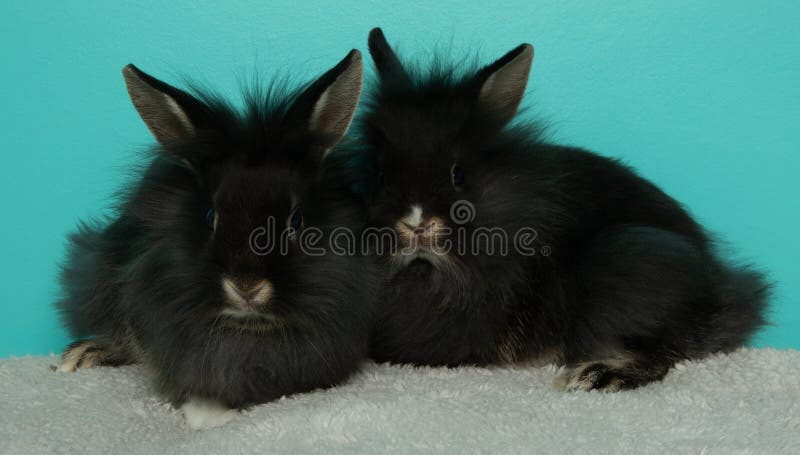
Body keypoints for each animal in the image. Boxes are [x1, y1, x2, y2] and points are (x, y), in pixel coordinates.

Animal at [55, 49, 379, 428]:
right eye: (211, 216)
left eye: (296, 220)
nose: (246, 286)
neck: (249, 329)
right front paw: (204, 415)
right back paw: (80, 355)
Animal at [358, 28, 770, 392]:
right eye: (380, 176)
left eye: (458, 174)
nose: (415, 224)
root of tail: (726, 295)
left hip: (632, 266)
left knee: (664, 353)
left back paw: (596, 376)